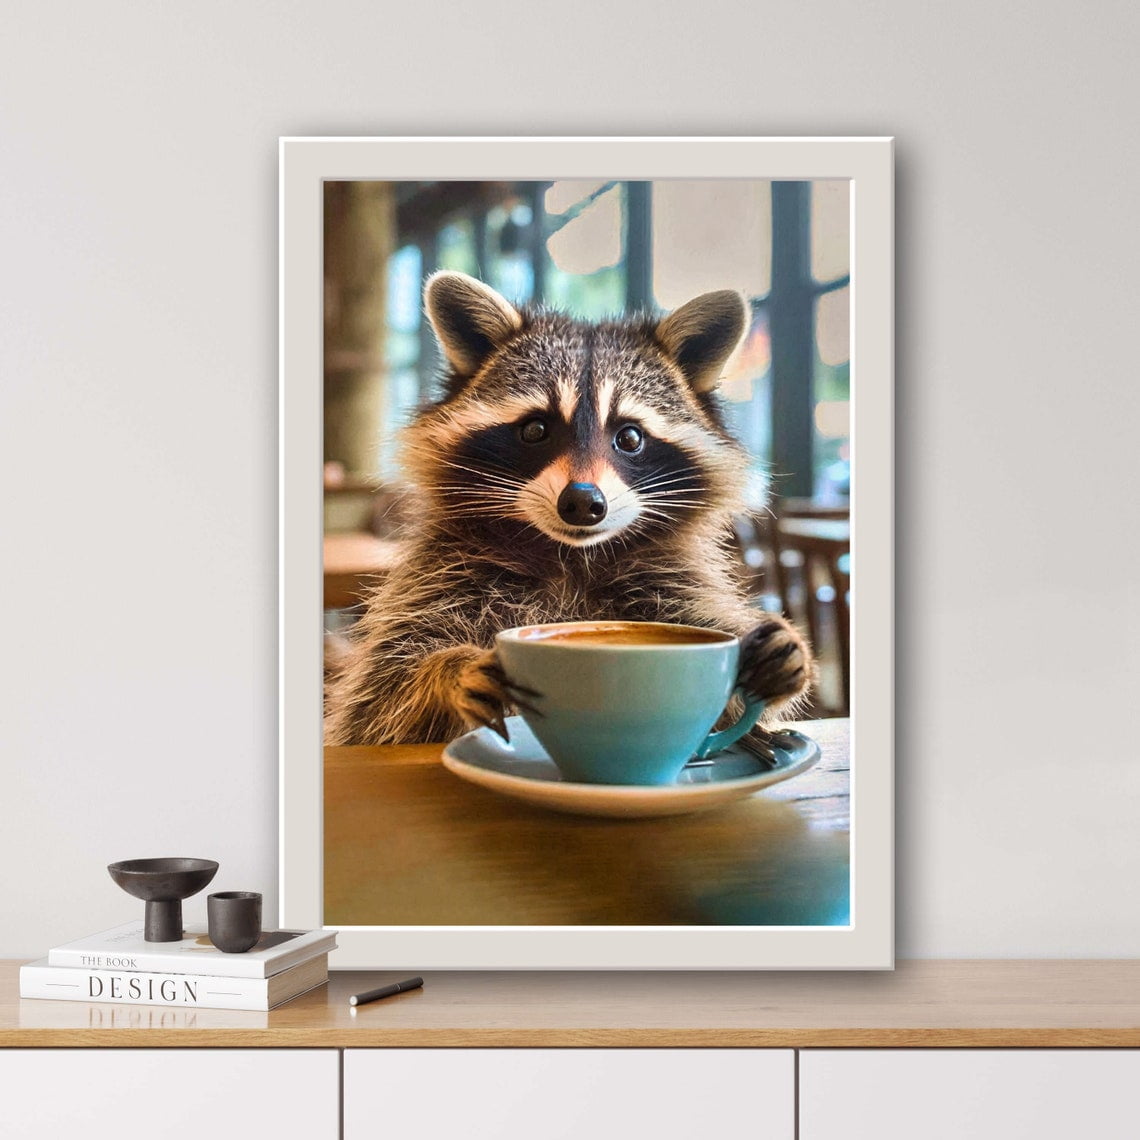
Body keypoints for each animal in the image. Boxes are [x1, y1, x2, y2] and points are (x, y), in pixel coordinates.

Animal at [323, 271, 813, 746]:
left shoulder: (671, 585)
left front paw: (776, 657)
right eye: (535, 429)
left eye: (630, 437)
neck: (570, 557)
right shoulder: (435, 582)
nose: (582, 502)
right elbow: (384, 696)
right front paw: (449, 671)